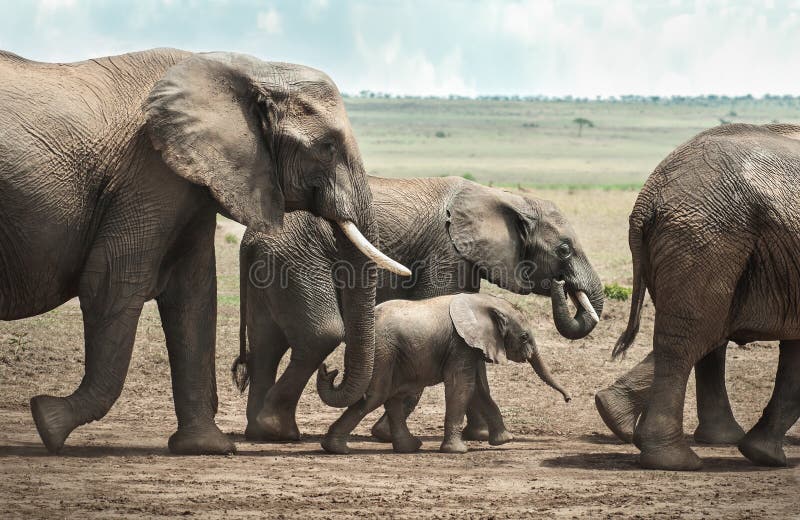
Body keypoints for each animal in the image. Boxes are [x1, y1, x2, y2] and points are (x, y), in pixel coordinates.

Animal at [0, 49, 408, 454]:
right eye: (327, 147)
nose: (332, 372)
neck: (250, 69)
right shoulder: (147, 174)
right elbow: (112, 284)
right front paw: (49, 421)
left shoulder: (189, 181)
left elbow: (193, 294)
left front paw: (205, 446)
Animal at [317, 293, 571, 455]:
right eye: (525, 337)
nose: (568, 399)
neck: (485, 301)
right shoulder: (460, 344)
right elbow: (463, 387)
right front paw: (457, 451)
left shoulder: (470, 347)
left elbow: (478, 390)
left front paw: (504, 441)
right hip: (383, 352)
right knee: (375, 396)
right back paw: (337, 449)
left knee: (394, 398)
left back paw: (408, 448)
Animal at [607, 123, 800, 470]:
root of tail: (649, 196)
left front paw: (764, 456)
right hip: (706, 239)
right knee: (690, 336)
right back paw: (675, 459)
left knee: (703, 331)